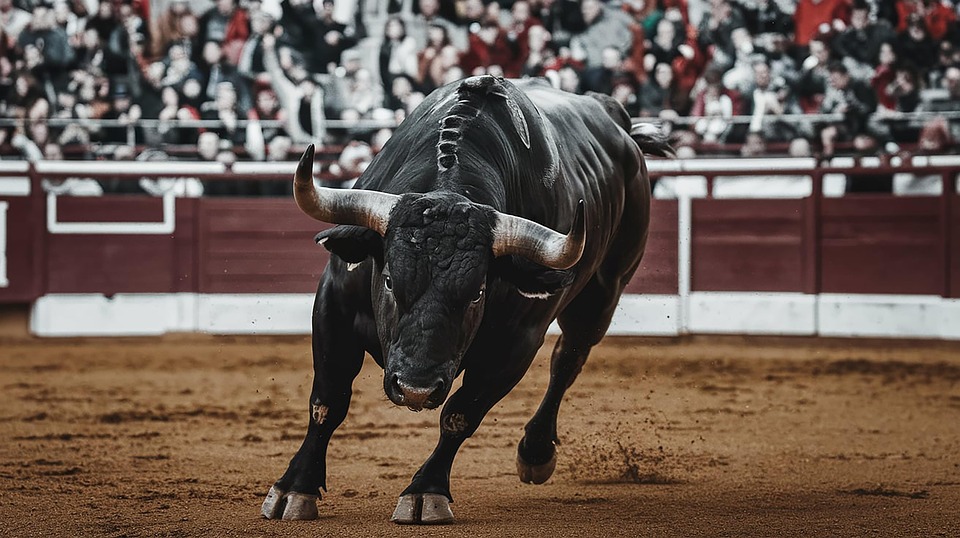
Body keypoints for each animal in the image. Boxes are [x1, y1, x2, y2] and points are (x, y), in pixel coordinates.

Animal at [260, 75, 672, 524]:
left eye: (478, 292)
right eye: (388, 280)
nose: (416, 390)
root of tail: (617, 123)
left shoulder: (514, 347)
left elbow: (460, 415)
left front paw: (425, 491)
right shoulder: (334, 307)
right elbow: (328, 402)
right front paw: (294, 487)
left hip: (603, 293)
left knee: (568, 359)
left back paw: (536, 451)